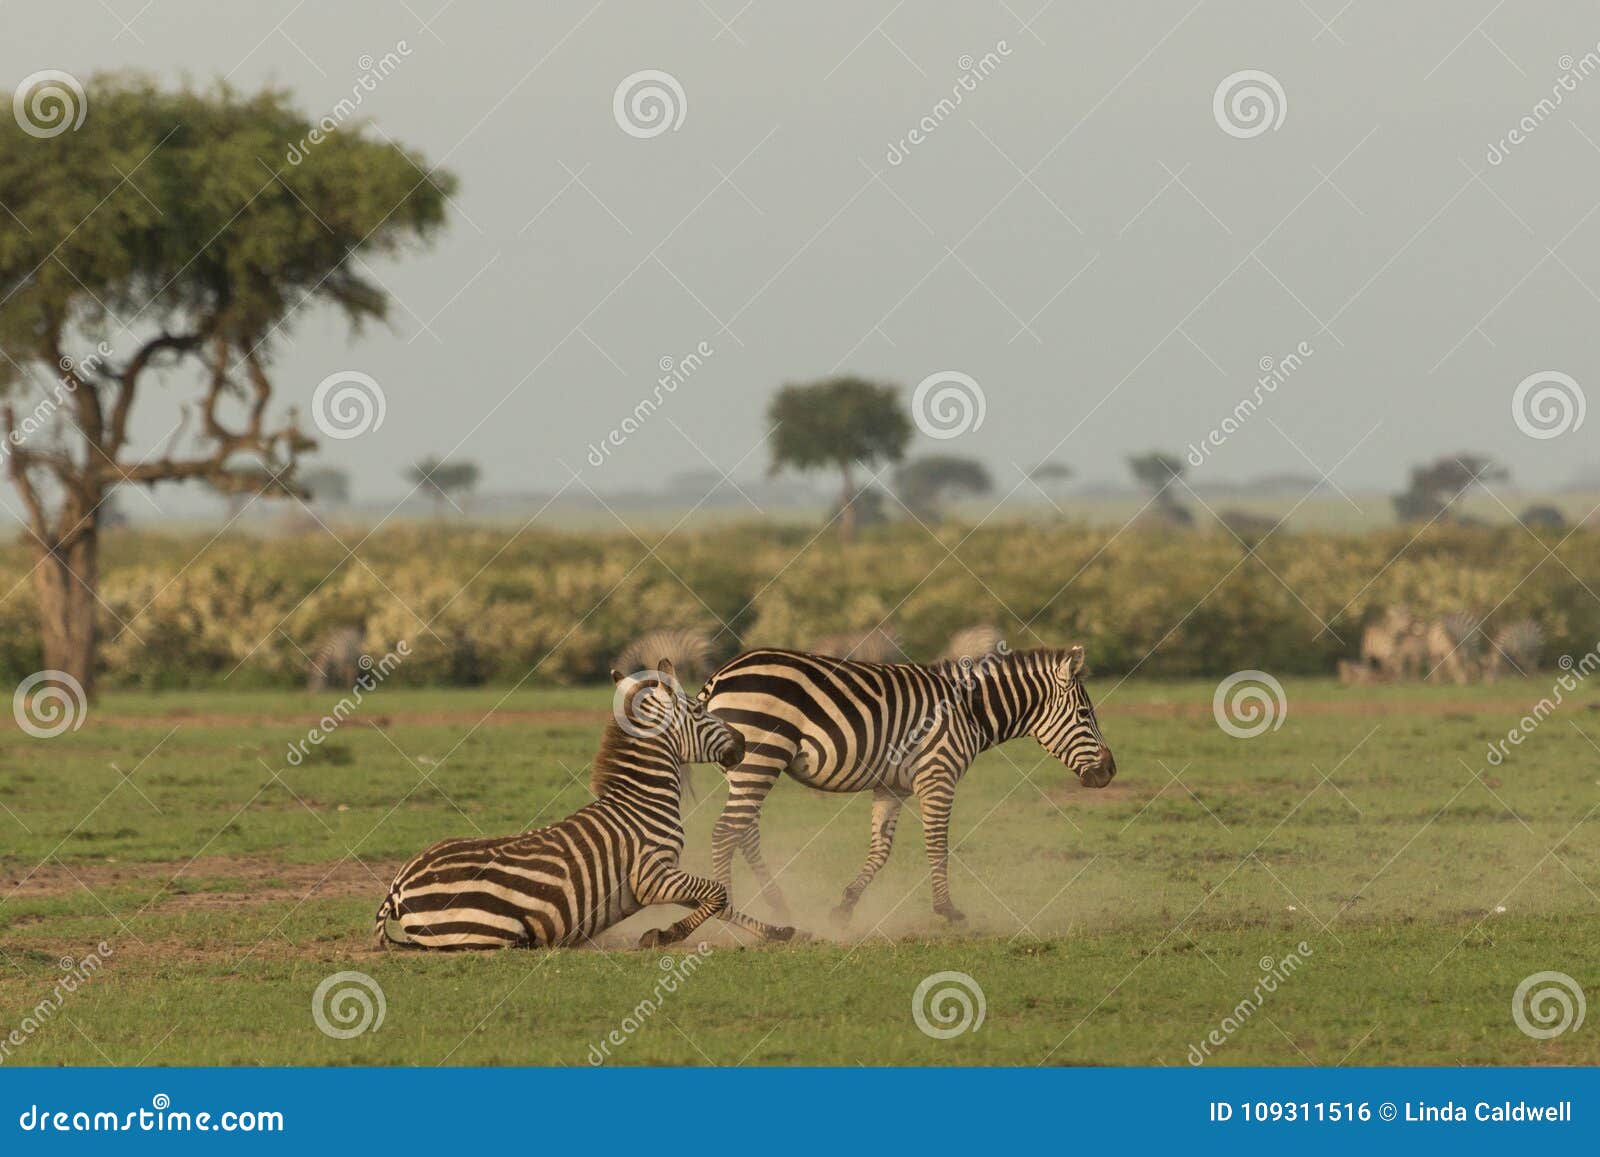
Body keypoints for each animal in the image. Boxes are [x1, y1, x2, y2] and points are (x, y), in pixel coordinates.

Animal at [374, 660, 796, 949]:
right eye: (698, 710)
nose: (744, 742)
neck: (641, 801)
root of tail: (397, 885)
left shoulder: (665, 875)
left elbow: (721, 902)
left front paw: (779, 930)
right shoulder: (650, 875)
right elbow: (718, 893)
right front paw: (664, 934)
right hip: (490, 928)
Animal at [698, 644, 1115, 925]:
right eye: (1085, 714)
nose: (1109, 771)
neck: (969, 711)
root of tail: (718, 677)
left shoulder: (892, 785)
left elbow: (881, 849)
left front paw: (845, 907)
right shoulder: (938, 774)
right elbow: (937, 844)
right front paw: (947, 910)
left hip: (748, 767)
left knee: (744, 831)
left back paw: (777, 903)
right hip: (761, 758)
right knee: (725, 832)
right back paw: (729, 911)